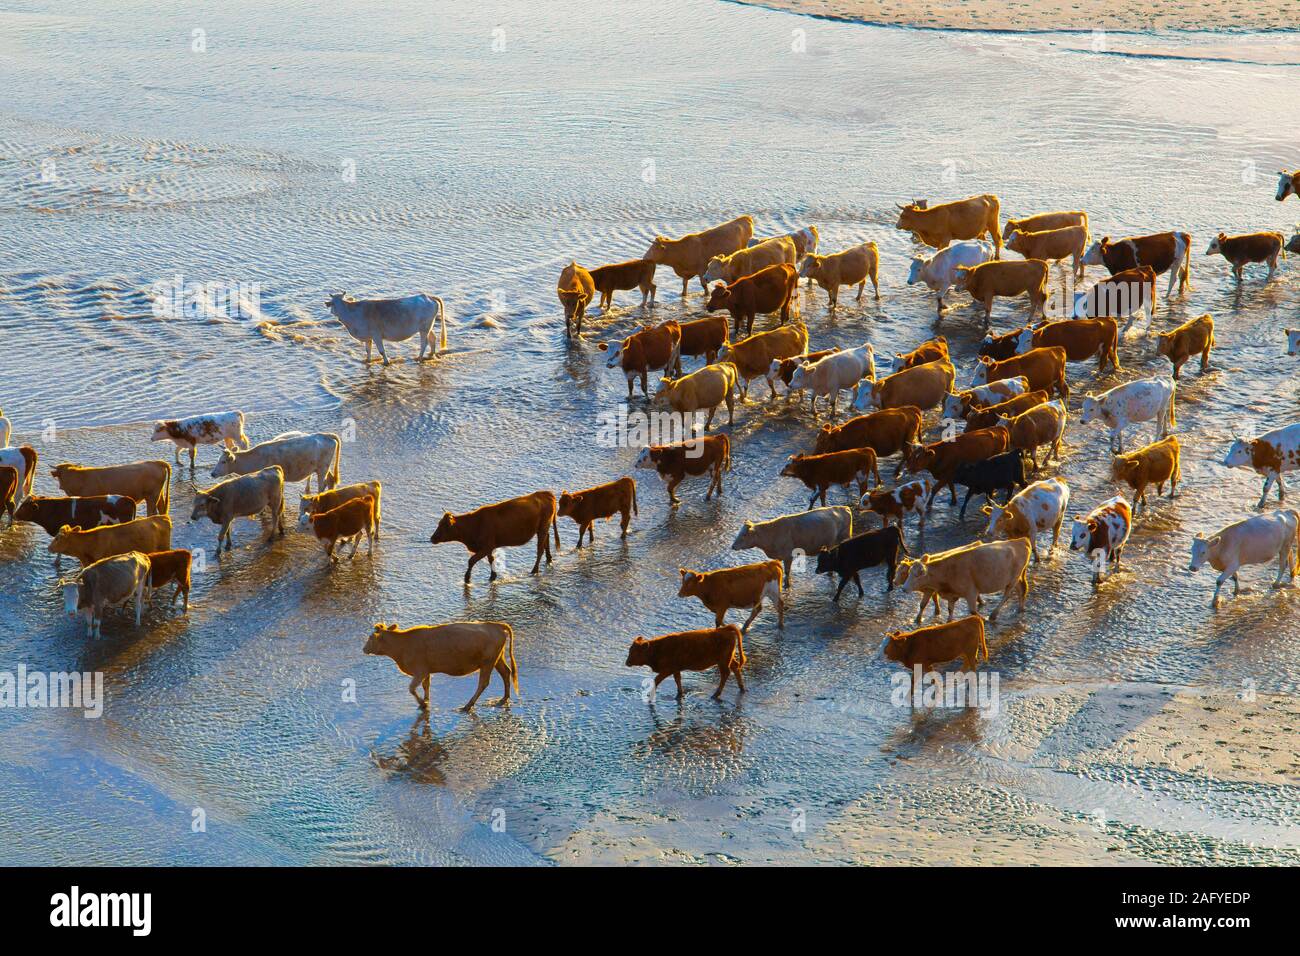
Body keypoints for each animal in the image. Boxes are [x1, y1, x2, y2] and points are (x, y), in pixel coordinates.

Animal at [364, 621, 518, 711]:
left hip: (487, 663)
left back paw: (467, 706)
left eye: (370, 638)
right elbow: (426, 685)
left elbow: (412, 688)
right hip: (497, 659)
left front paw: (422, 703)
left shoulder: (420, 671)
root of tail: (495, 625)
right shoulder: (426, 671)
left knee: (483, 683)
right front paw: (426, 701)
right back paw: (504, 698)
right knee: (506, 672)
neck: (403, 644)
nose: (364, 649)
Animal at [430, 491, 559, 584]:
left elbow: (471, 560)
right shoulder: (488, 546)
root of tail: (546, 493)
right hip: (542, 528)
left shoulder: (486, 546)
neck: (474, 524)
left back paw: (534, 570)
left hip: (543, 527)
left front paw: (467, 578)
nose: (432, 538)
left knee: (540, 549)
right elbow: (490, 559)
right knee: (546, 540)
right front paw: (493, 576)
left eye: (443, 526)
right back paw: (549, 559)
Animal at [892, 537, 1031, 624]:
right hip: (1015, 578)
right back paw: (1021, 608)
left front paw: (983, 619)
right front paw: (948, 621)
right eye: (909, 573)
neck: (947, 570)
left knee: (1007, 595)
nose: (903, 588)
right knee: (1021, 589)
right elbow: (949, 610)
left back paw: (993, 615)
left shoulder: (971, 592)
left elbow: (973, 611)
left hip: (1012, 580)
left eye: (918, 574)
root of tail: (1021, 541)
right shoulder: (951, 594)